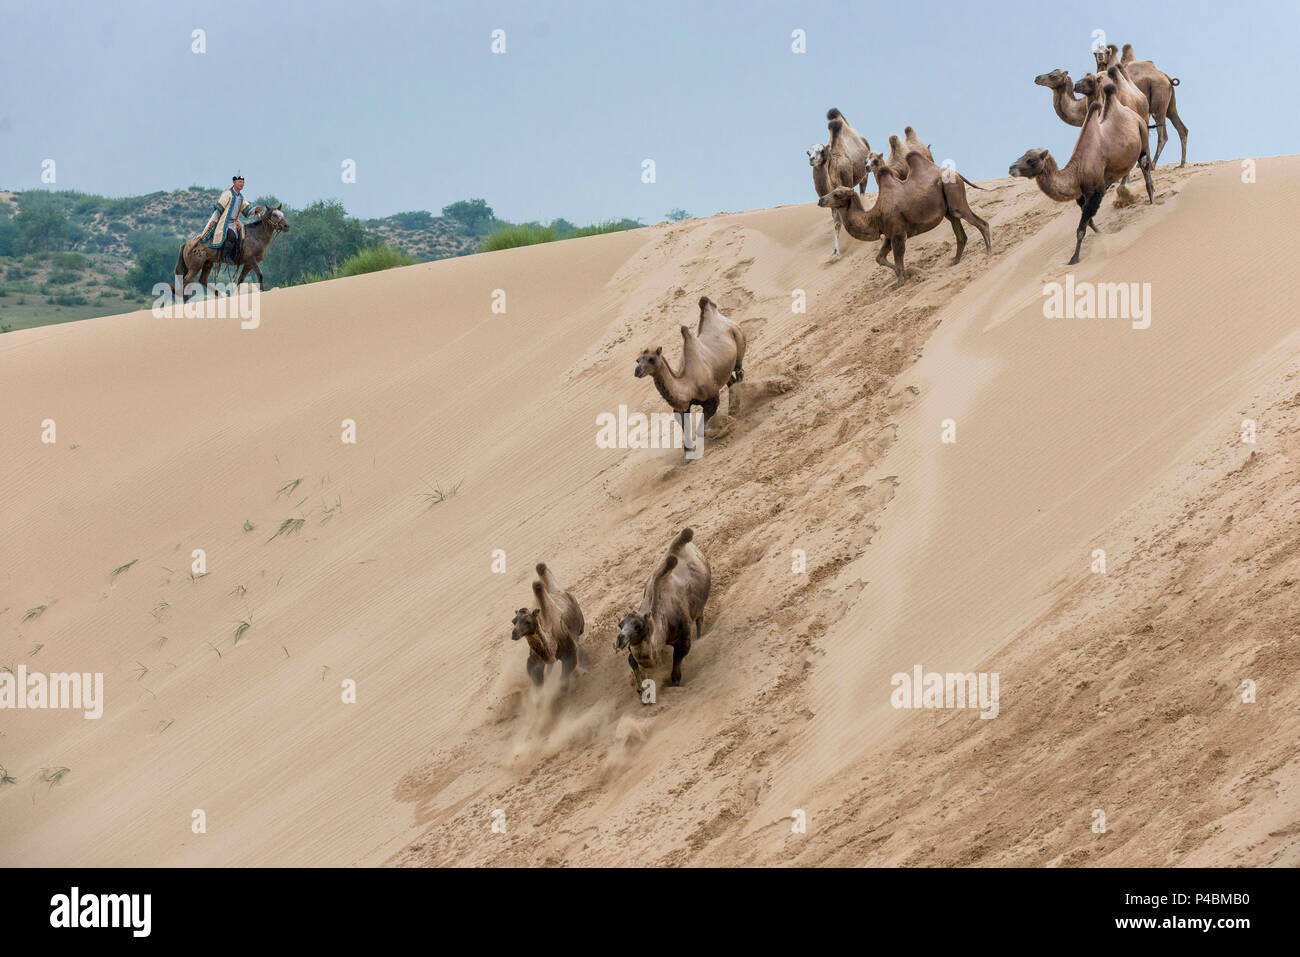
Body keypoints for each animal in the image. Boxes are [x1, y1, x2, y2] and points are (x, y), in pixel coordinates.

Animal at [616, 528, 711, 692]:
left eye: (639, 626)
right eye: (620, 625)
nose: (620, 639)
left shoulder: (683, 637)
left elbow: (677, 663)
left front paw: (675, 683)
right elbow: (632, 660)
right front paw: (640, 689)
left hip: (699, 606)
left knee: (699, 619)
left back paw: (700, 636)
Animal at [634, 296, 746, 460]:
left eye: (651, 359)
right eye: (637, 360)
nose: (637, 371)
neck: (689, 384)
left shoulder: (711, 398)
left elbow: (700, 429)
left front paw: (721, 429)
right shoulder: (683, 407)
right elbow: (685, 426)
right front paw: (688, 454)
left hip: (738, 340)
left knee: (739, 373)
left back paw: (738, 404)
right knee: (731, 381)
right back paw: (733, 409)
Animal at [808, 108, 873, 257]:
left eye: (821, 151)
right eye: (808, 152)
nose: (812, 159)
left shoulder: (845, 186)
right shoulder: (829, 198)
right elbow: (836, 222)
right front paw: (835, 251)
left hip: (865, 172)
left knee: (863, 190)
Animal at [1008, 71, 1155, 265]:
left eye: (1031, 160)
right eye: (1022, 155)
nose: (1011, 168)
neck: (1076, 172)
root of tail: (1131, 113)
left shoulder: (1096, 191)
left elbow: (1081, 228)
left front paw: (1074, 258)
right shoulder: (1081, 195)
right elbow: (1089, 222)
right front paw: (1101, 233)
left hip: (1143, 135)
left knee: (1145, 167)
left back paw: (1152, 200)